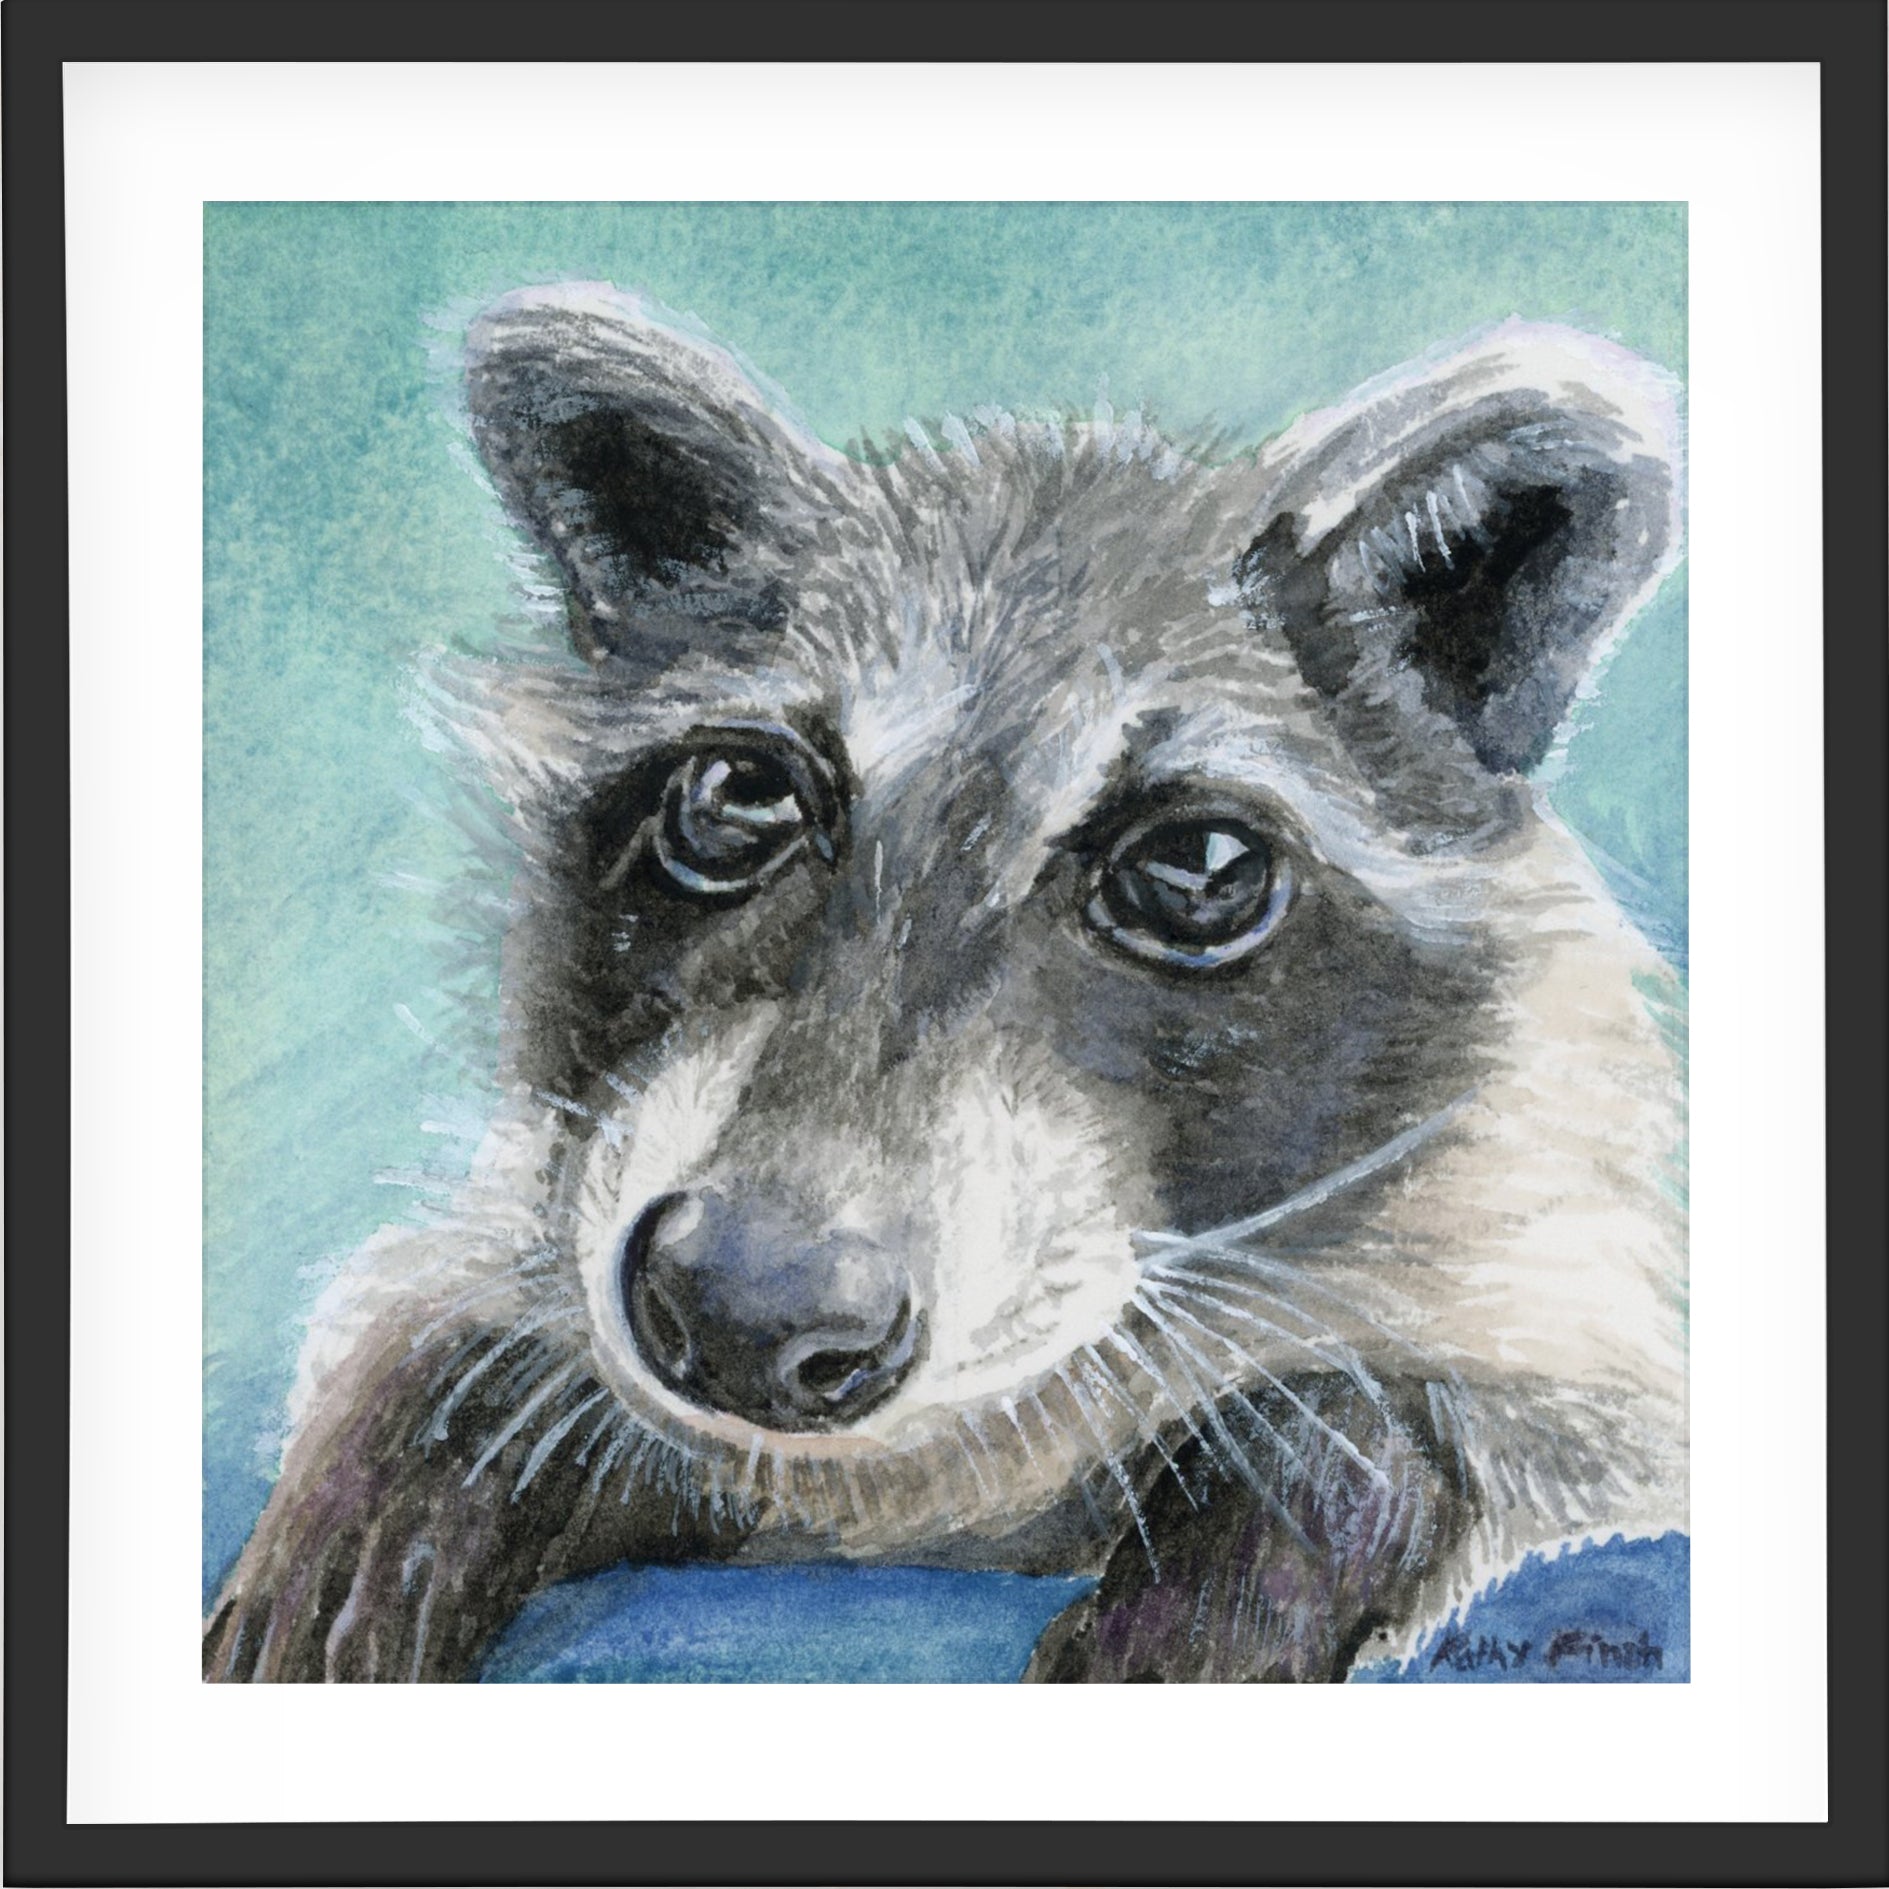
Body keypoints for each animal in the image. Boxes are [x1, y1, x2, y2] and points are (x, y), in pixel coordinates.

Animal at [204, 283, 1686, 1684]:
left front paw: (1315, 1460)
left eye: (1196, 865)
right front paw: (445, 1413)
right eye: (738, 795)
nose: (747, 1310)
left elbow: (1494, 1429)